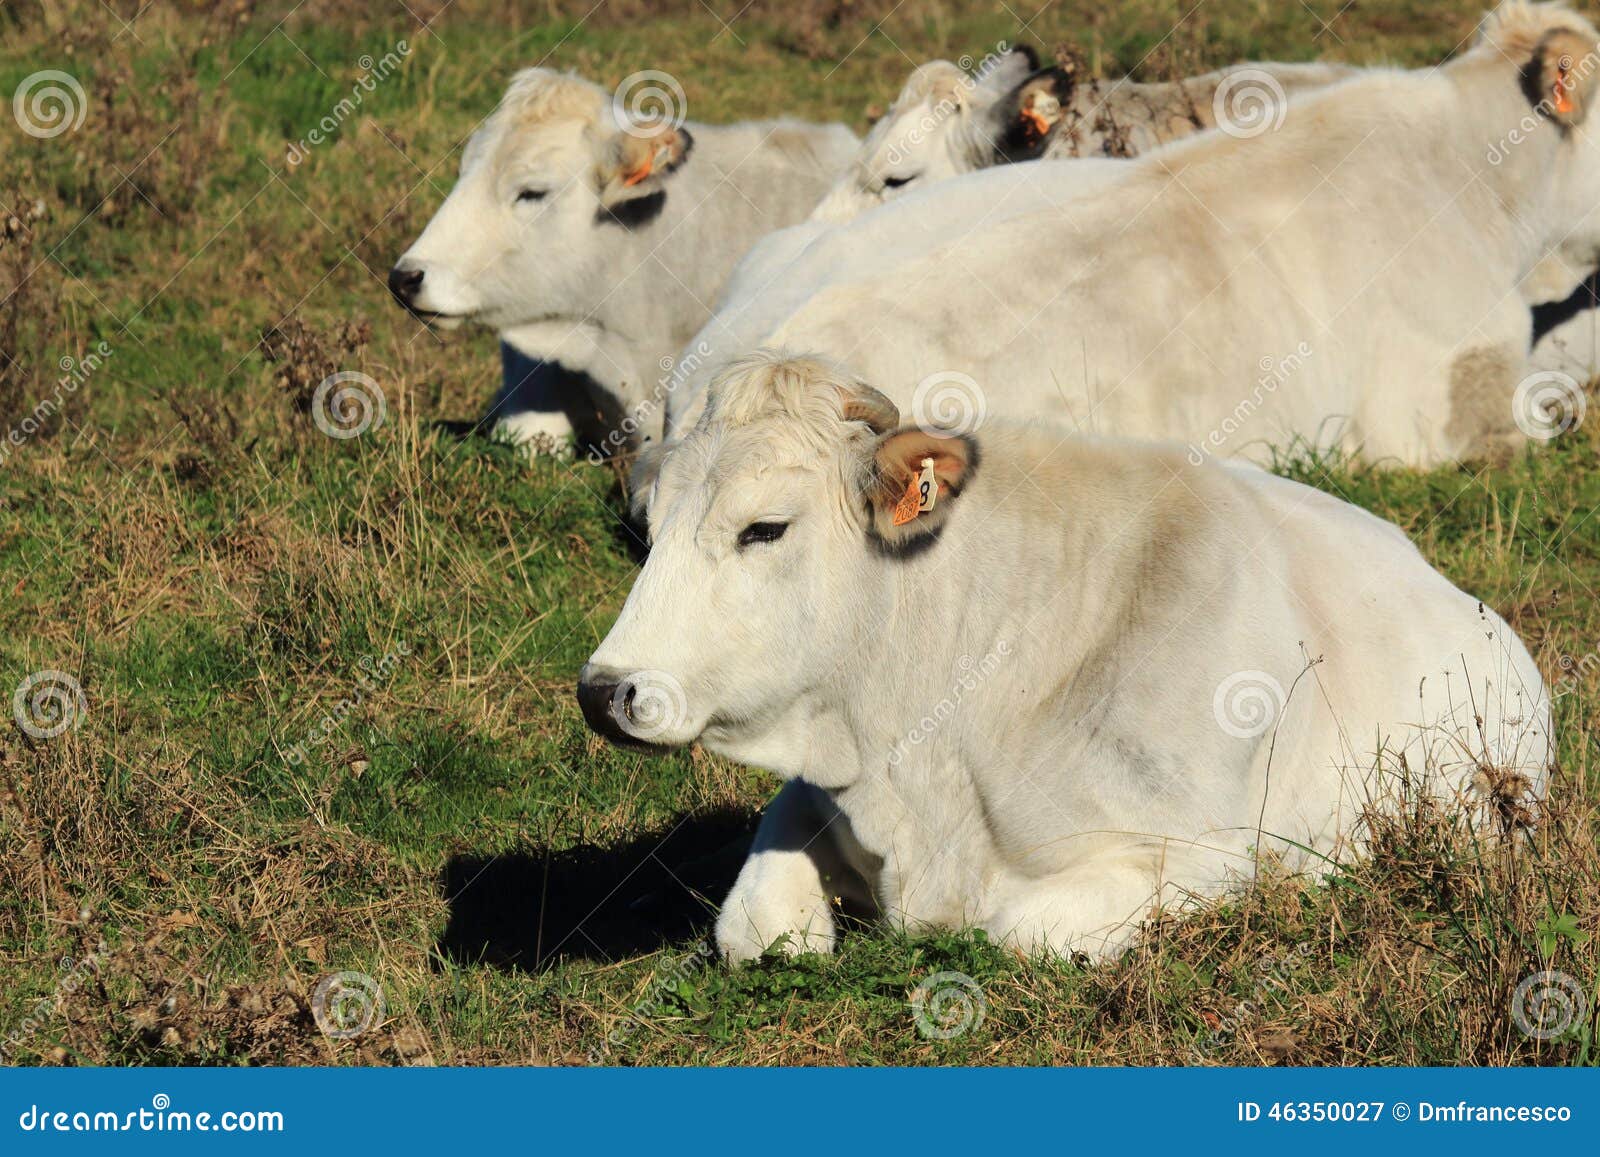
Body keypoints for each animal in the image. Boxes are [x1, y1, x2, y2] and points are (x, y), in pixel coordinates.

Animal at [578, 351, 1550, 961]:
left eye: (765, 527)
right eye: (650, 524)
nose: (604, 691)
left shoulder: (1207, 856)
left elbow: (1023, 929)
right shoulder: (814, 793)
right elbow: (756, 929)